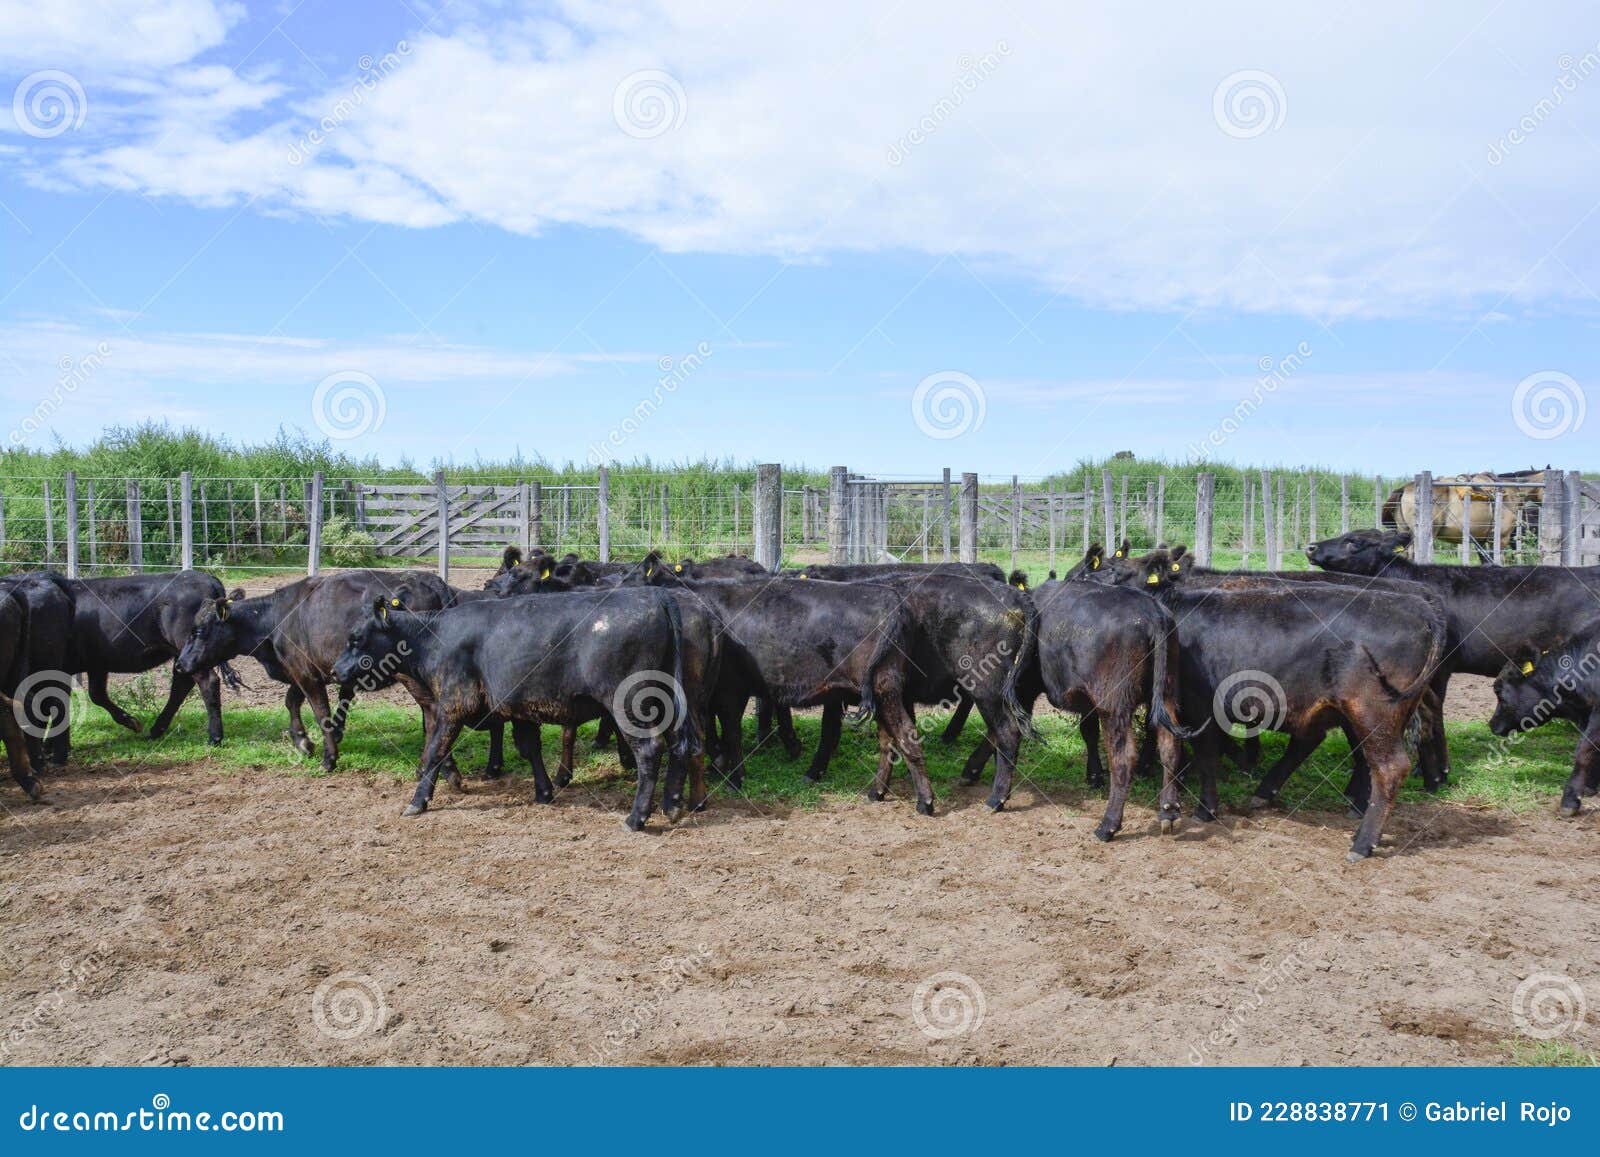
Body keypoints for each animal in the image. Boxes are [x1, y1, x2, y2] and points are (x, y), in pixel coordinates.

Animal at [175, 569, 453, 771]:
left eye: (198, 631)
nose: (180, 664)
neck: (279, 616)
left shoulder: (306, 674)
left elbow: (321, 714)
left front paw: (328, 758)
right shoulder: (302, 670)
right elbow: (291, 701)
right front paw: (303, 741)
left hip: (410, 675)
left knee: (434, 710)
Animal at [330, 587, 706, 830]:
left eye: (356, 638)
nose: (334, 671)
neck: (434, 636)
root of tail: (656, 597)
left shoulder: (453, 704)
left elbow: (435, 751)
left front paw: (418, 801)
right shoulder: (518, 705)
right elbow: (530, 748)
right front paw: (544, 791)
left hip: (629, 701)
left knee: (650, 750)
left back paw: (636, 818)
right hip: (666, 700)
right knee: (681, 745)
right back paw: (672, 806)